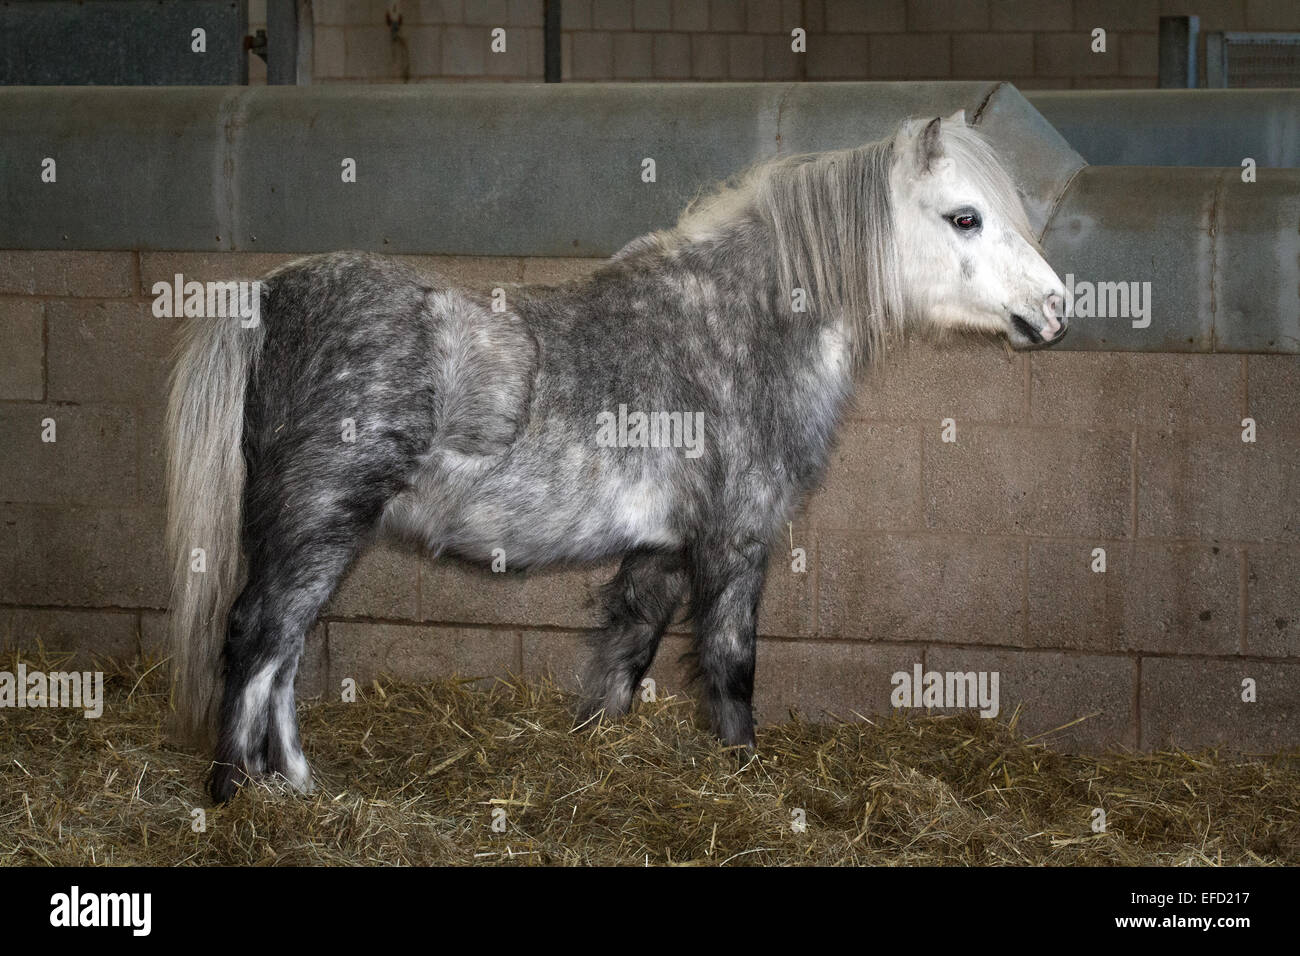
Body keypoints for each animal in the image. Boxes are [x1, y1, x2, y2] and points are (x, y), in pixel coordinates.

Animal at [165, 110, 1068, 803]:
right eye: (964, 217)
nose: (1057, 306)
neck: (737, 327)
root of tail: (272, 296)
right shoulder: (735, 540)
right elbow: (730, 665)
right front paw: (745, 778)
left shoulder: (662, 549)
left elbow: (625, 654)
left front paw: (597, 749)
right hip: (319, 524)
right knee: (258, 640)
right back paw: (235, 797)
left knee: (281, 654)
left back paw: (299, 785)